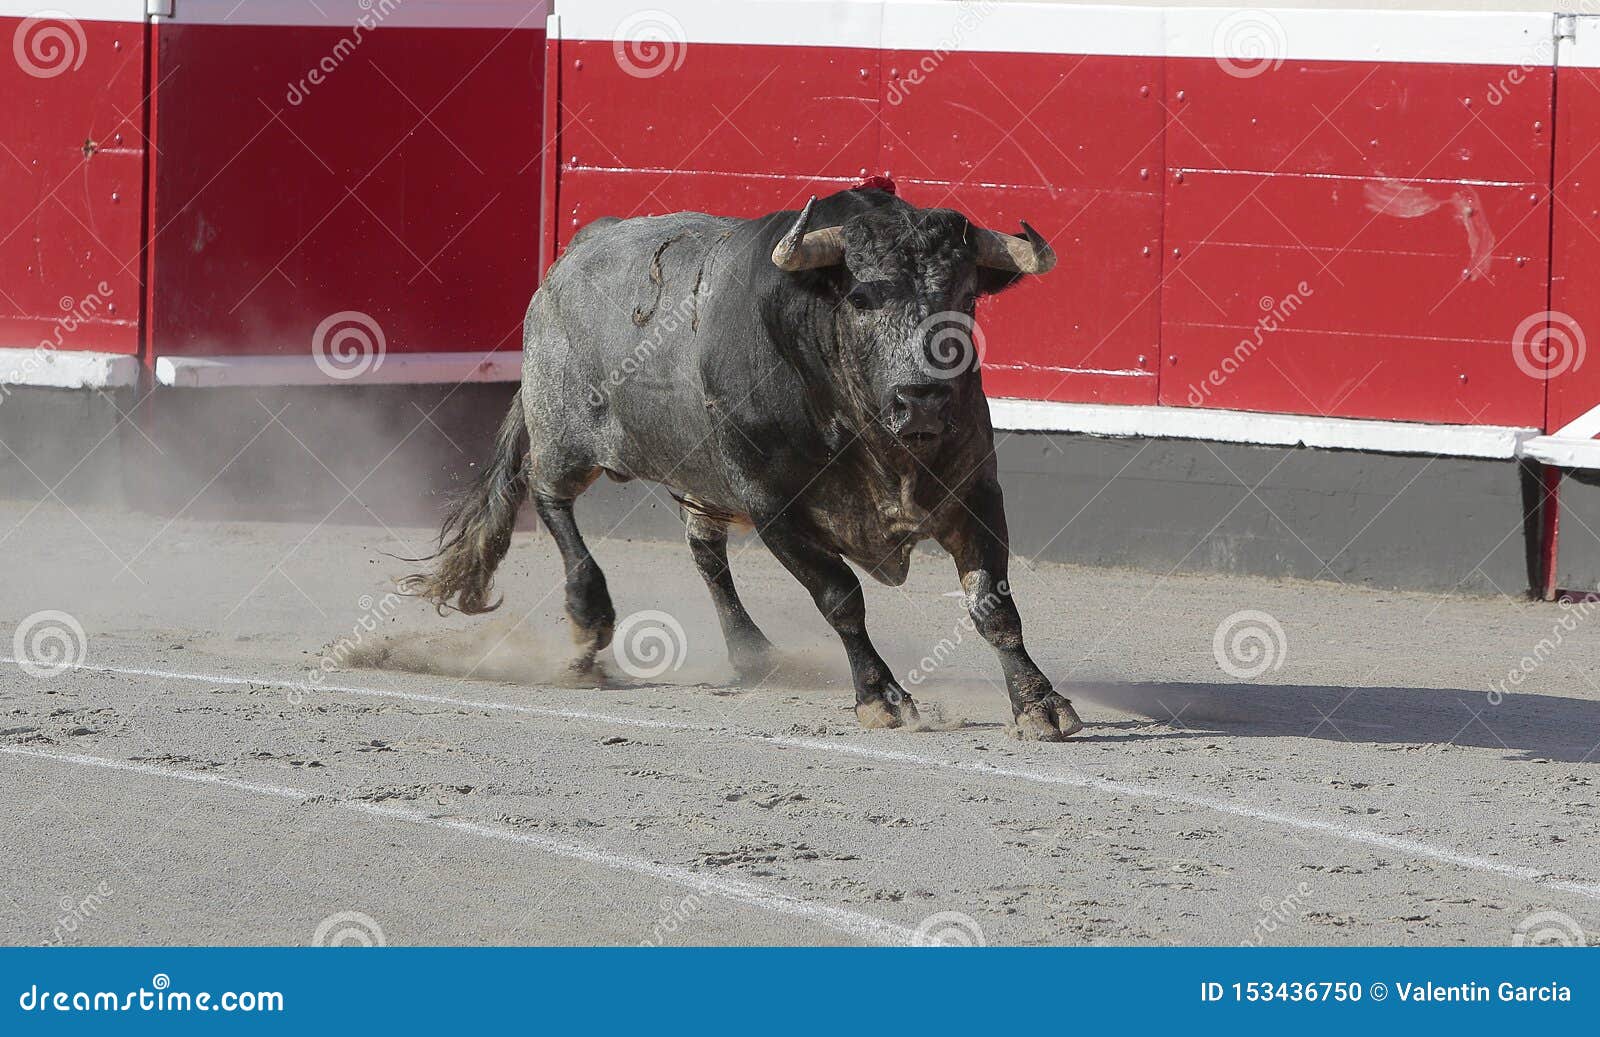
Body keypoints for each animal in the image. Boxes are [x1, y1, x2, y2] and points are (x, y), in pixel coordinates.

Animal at [402, 185, 1083, 741]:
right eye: (862, 299)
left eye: (965, 295)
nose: (921, 399)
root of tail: (572, 254)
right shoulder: (773, 506)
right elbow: (841, 597)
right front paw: (881, 697)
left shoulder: (975, 492)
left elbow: (993, 602)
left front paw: (1040, 703)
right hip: (564, 436)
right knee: (548, 497)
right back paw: (589, 617)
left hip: (702, 479)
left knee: (705, 553)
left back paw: (753, 653)